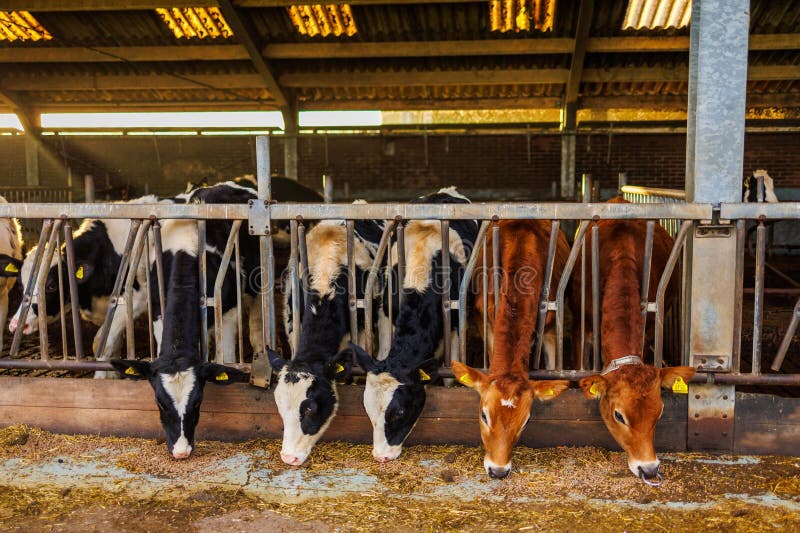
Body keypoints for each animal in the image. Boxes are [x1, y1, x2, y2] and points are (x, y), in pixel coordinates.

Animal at [110, 181, 254, 459]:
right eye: (159, 402)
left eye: (198, 401)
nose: (181, 451)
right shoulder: (158, 313)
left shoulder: (228, 312)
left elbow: (228, 355)